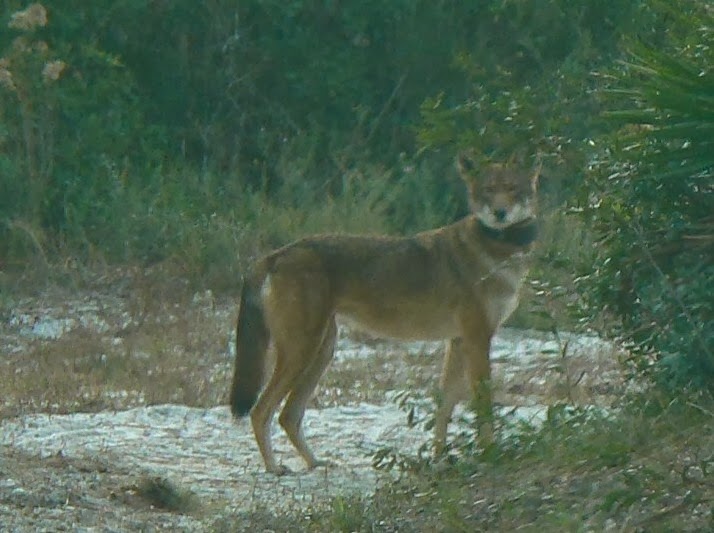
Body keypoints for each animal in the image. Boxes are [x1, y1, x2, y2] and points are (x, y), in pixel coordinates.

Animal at [229, 152, 540, 474]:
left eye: (512, 189)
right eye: (489, 190)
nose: (500, 213)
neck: (497, 249)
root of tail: (275, 254)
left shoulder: (458, 341)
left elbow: (444, 407)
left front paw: (439, 459)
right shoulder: (478, 339)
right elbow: (483, 405)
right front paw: (490, 453)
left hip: (321, 352)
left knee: (288, 415)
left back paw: (315, 463)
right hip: (301, 352)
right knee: (261, 410)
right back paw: (274, 468)